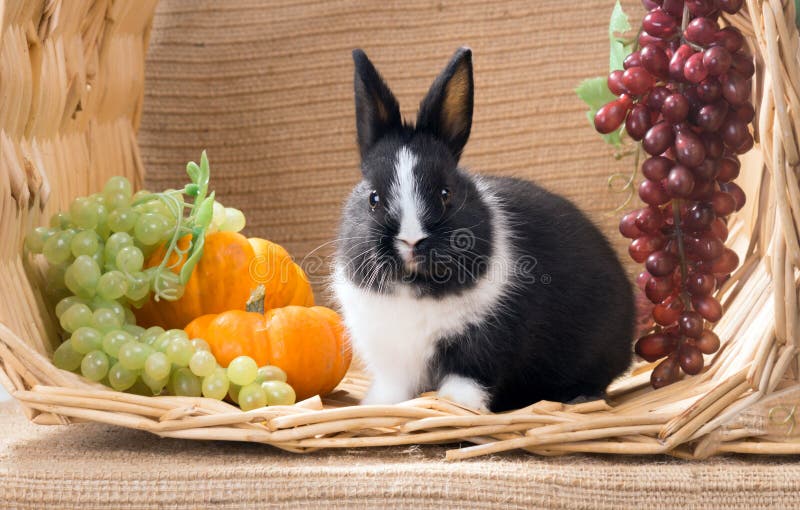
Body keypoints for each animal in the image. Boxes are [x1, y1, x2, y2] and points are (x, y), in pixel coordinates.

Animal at [332, 47, 635, 412]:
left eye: (445, 194)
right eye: (373, 198)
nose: (411, 240)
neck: (416, 288)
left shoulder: (486, 343)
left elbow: (468, 379)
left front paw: (453, 404)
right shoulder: (393, 362)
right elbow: (395, 390)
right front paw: (378, 405)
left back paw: (580, 397)